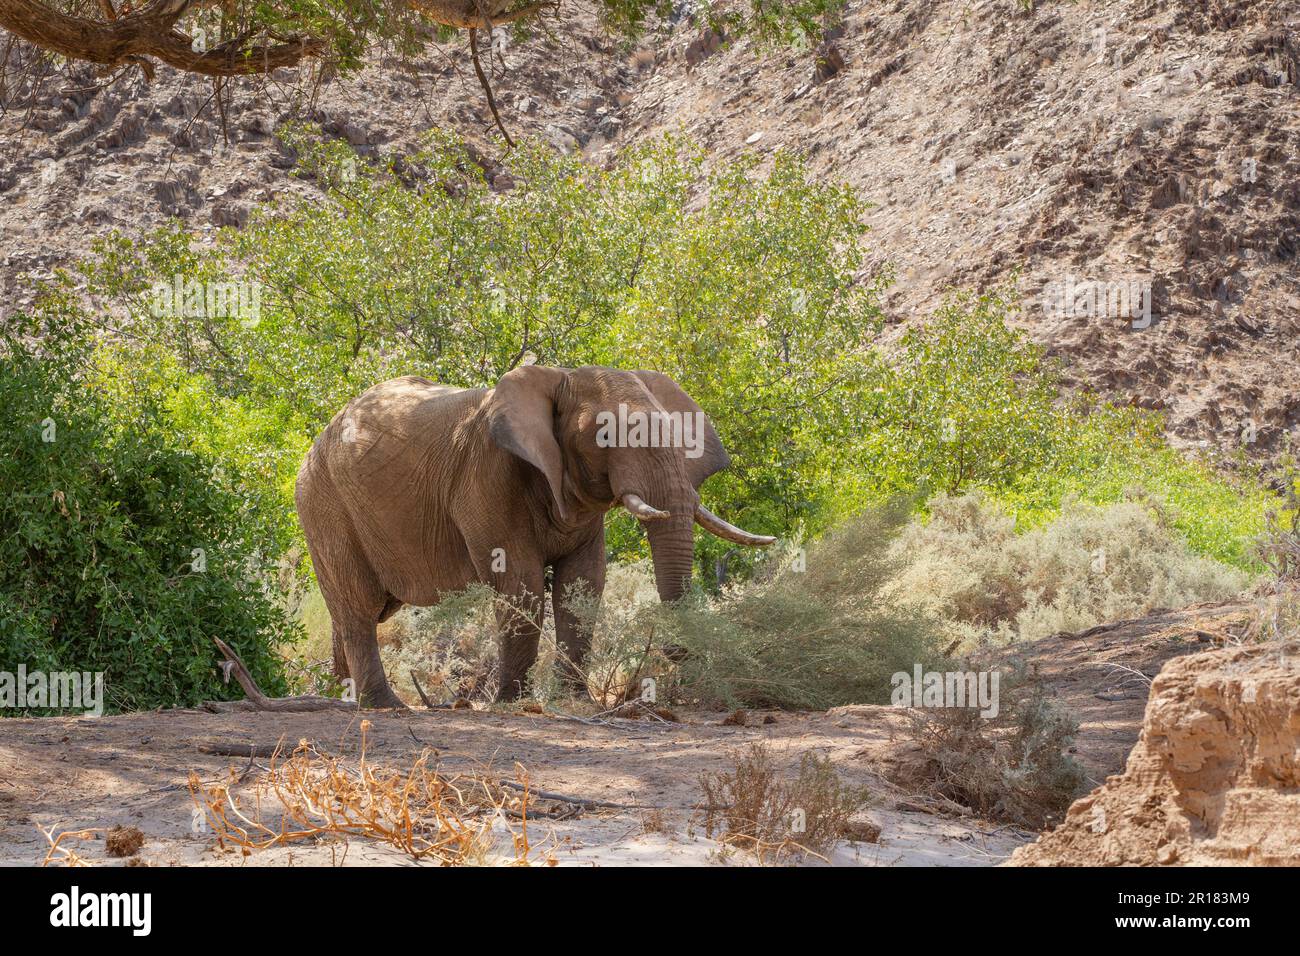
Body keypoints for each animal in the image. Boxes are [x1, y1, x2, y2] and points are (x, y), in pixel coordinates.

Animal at [295, 364, 775, 708]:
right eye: (605, 434)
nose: (676, 655)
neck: (560, 377)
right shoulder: (486, 477)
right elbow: (519, 582)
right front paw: (513, 702)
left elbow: (582, 584)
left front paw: (573, 701)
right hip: (323, 503)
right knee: (358, 606)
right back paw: (382, 705)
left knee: (359, 610)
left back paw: (339, 695)